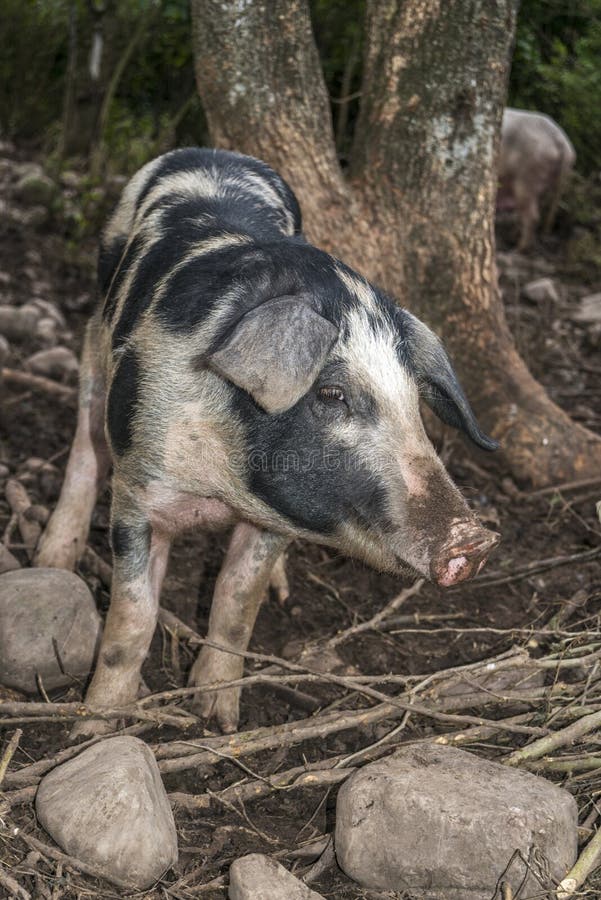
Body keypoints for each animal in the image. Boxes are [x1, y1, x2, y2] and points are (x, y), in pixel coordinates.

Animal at [34, 147, 500, 738]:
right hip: (95, 341)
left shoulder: (272, 522)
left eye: (414, 399)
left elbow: (237, 605)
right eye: (331, 393)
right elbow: (132, 620)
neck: (221, 485)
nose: (475, 539)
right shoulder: (139, 494)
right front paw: (97, 726)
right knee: (84, 449)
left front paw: (219, 719)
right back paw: (52, 558)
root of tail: (212, 151)